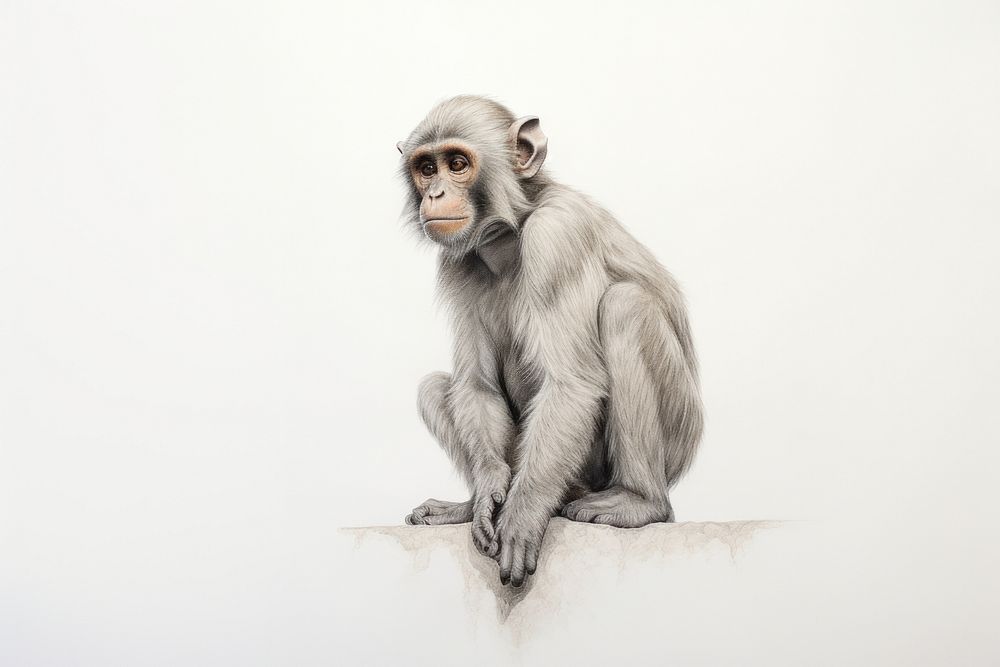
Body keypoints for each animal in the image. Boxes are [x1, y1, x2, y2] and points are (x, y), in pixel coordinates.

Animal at [398, 96, 703, 587]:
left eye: (457, 164)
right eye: (427, 168)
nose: (435, 194)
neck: (512, 228)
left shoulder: (557, 235)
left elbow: (571, 384)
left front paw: (521, 515)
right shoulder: (456, 262)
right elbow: (476, 386)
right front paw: (488, 494)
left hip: (673, 440)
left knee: (626, 308)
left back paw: (639, 502)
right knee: (435, 387)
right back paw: (466, 506)